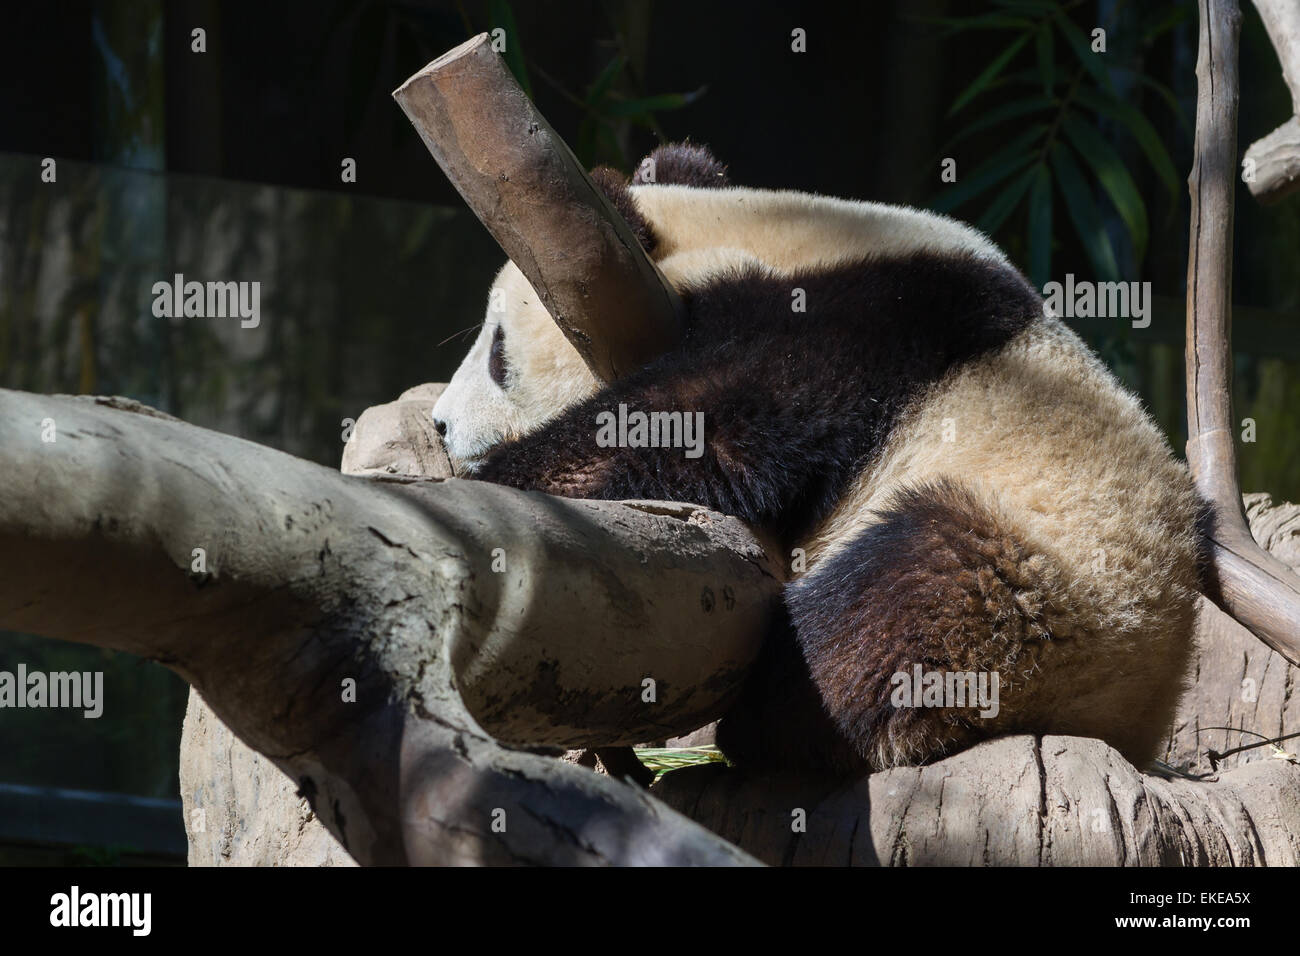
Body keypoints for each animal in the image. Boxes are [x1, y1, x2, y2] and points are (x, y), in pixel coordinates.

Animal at [432, 142, 1208, 778]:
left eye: (498, 354)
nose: (440, 424)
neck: (775, 232)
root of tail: (1135, 720)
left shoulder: (860, 330)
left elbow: (713, 433)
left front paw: (506, 474)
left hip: (1046, 583)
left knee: (901, 605)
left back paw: (764, 721)